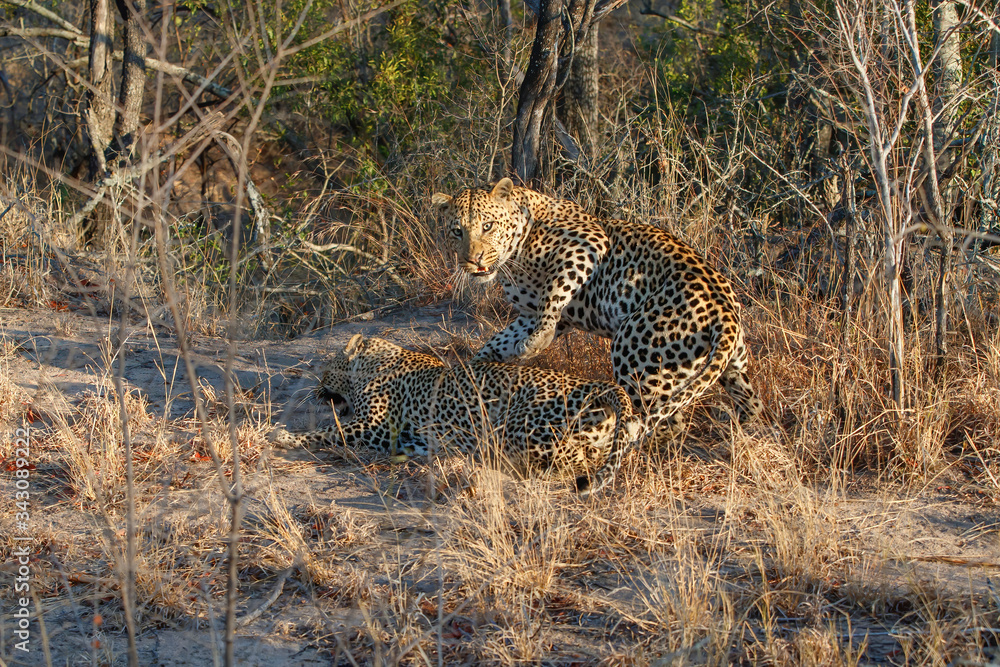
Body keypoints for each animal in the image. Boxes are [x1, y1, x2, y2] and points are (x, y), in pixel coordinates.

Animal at [269, 335, 643, 496]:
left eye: (325, 373)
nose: (317, 389)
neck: (376, 361)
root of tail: (599, 385)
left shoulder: (376, 428)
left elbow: (331, 431)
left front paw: (283, 436)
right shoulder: (407, 437)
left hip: (519, 429)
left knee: (566, 466)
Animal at [431, 177, 763, 459]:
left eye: (488, 226)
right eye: (457, 231)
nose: (472, 260)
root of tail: (725, 312)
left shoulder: (586, 244)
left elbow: (553, 293)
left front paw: (537, 343)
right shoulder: (530, 315)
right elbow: (499, 342)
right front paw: (474, 374)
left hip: (633, 356)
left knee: (662, 419)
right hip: (733, 366)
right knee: (748, 403)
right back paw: (747, 432)